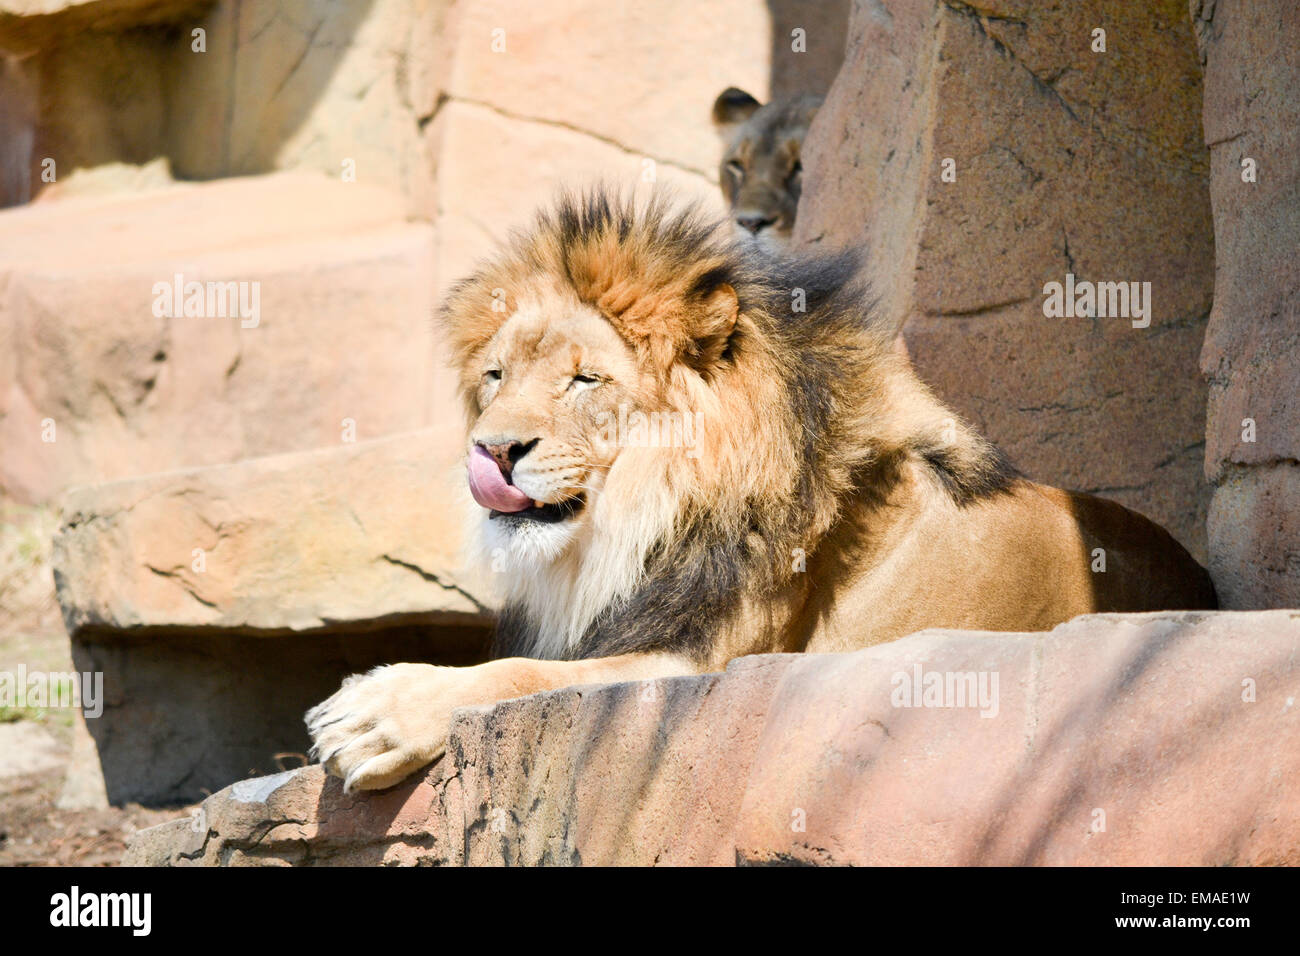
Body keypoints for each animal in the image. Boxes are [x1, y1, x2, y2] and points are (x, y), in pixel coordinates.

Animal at [306, 188, 1216, 792]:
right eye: (496, 376)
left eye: (584, 379)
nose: (491, 451)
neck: (638, 520)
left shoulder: (703, 660)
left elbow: (521, 676)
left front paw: (375, 711)